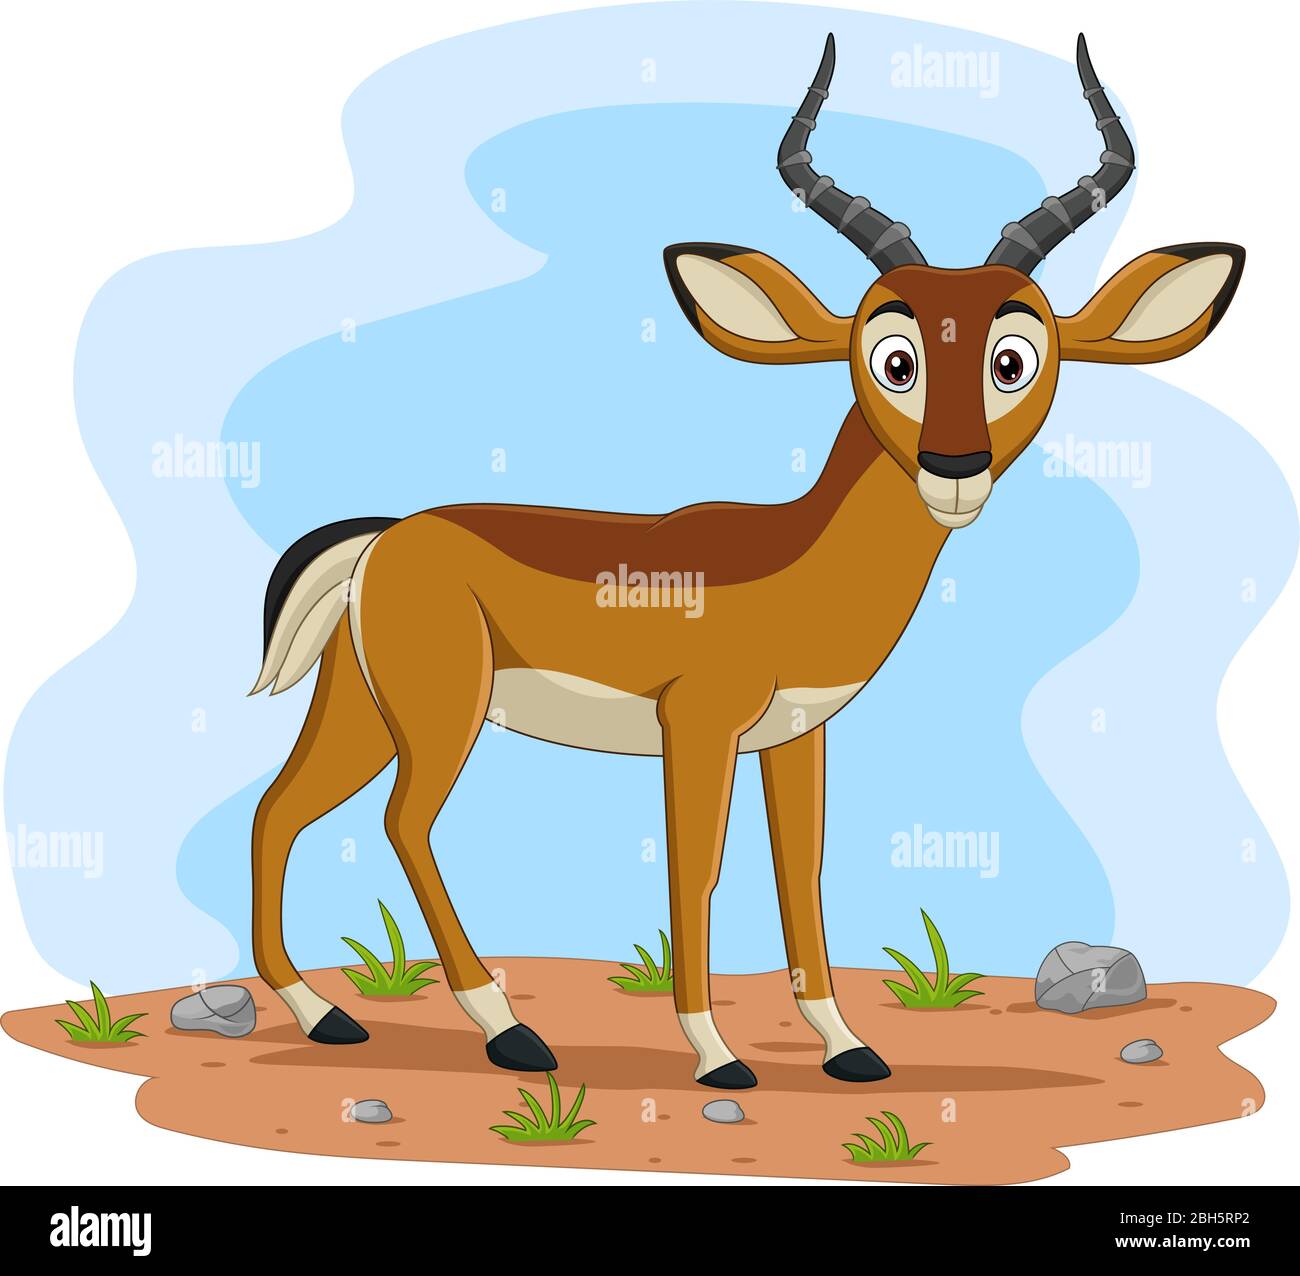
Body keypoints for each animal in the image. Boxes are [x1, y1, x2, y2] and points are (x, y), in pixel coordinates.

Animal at [249, 34, 1243, 1088]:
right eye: (893, 356)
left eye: (1013, 357)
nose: (955, 467)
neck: (796, 564)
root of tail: (387, 534)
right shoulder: (699, 725)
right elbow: (699, 866)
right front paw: (715, 1052)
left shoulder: (797, 735)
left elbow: (799, 867)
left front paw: (848, 1045)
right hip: (442, 714)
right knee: (404, 823)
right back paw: (505, 1029)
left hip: (366, 709)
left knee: (281, 809)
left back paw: (325, 1014)